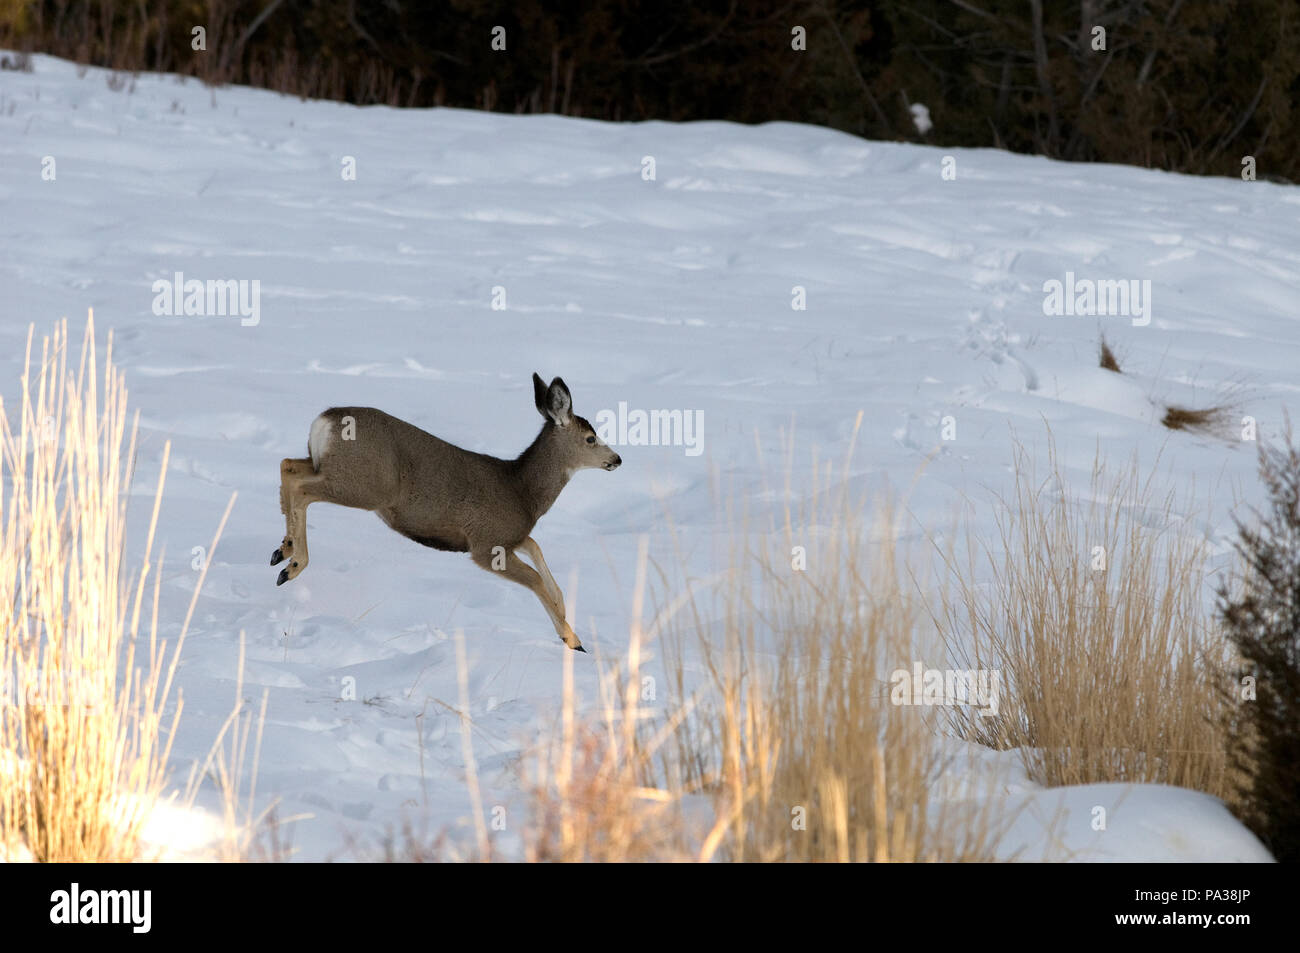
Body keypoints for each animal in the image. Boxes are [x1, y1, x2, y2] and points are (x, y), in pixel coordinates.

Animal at [271, 374, 621, 652]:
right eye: (591, 438)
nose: (616, 459)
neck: (523, 493)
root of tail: (324, 421)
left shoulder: (510, 536)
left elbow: (538, 552)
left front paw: (563, 609)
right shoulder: (487, 544)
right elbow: (535, 577)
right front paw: (573, 640)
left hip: (330, 468)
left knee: (288, 466)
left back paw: (282, 551)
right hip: (366, 486)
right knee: (302, 488)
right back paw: (293, 565)